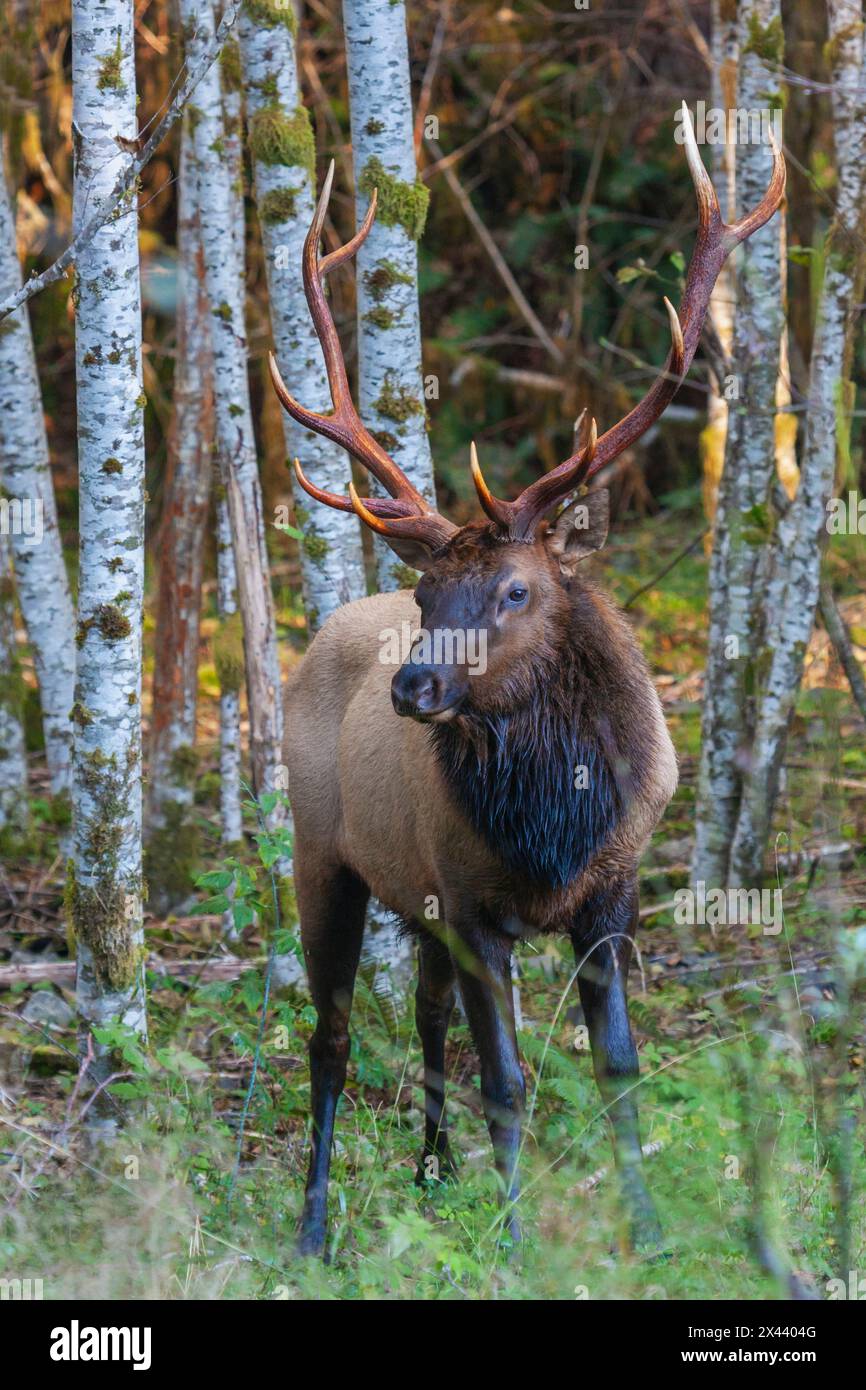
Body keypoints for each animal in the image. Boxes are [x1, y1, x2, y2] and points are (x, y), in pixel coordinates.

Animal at [270, 103, 785, 1259]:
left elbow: (618, 1065)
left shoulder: (613, 889)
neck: (554, 820)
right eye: (425, 593)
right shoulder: (473, 906)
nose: (413, 689)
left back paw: (431, 1171)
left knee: (419, 1017)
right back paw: (314, 1226)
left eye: (512, 589)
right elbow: (505, 1081)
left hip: (410, 894)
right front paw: (511, 1244)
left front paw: (649, 1232)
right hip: (324, 855)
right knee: (330, 1037)